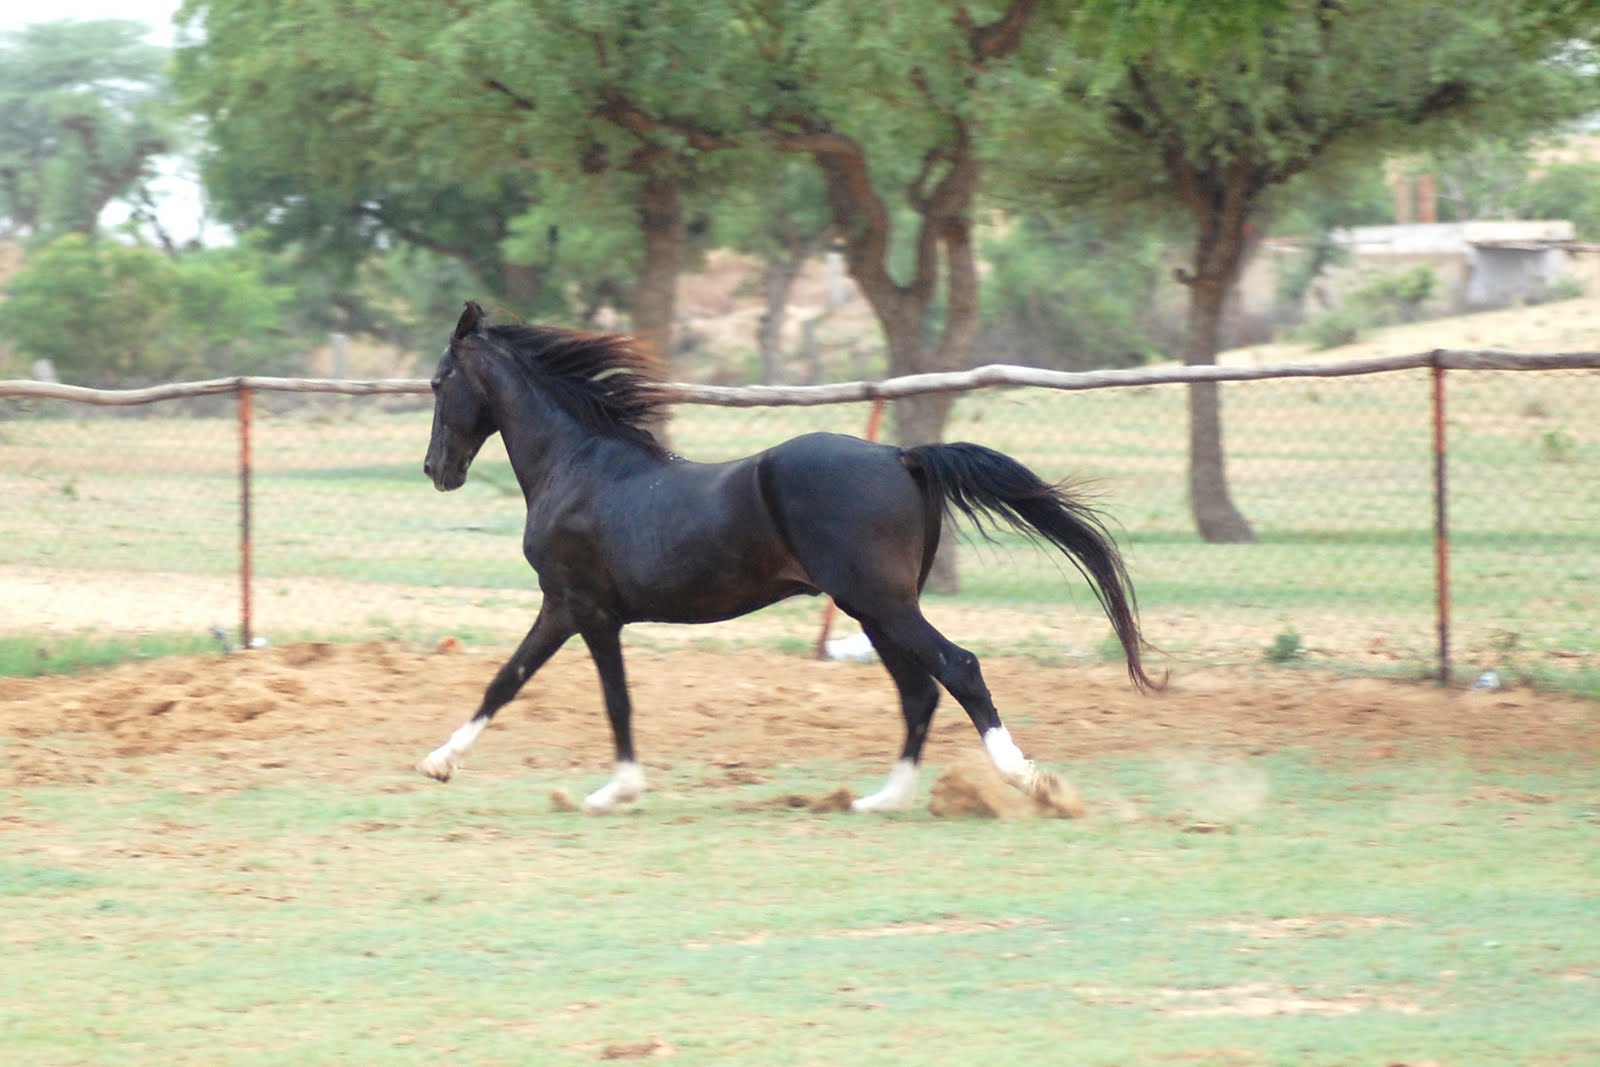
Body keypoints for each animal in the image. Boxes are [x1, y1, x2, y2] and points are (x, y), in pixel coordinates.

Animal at [417, 301, 1157, 812]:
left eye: (437, 382)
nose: (435, 470)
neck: (577, 465)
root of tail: (901, 455)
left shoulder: (582, 608)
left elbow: (587, 694)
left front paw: (609, 790)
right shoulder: (574, 609)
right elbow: (516, 681)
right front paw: (442, 763)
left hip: (883, 604)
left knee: (958, 669)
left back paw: (1027, 778)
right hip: (873, 609)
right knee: (918, 690)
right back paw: (880, 799)